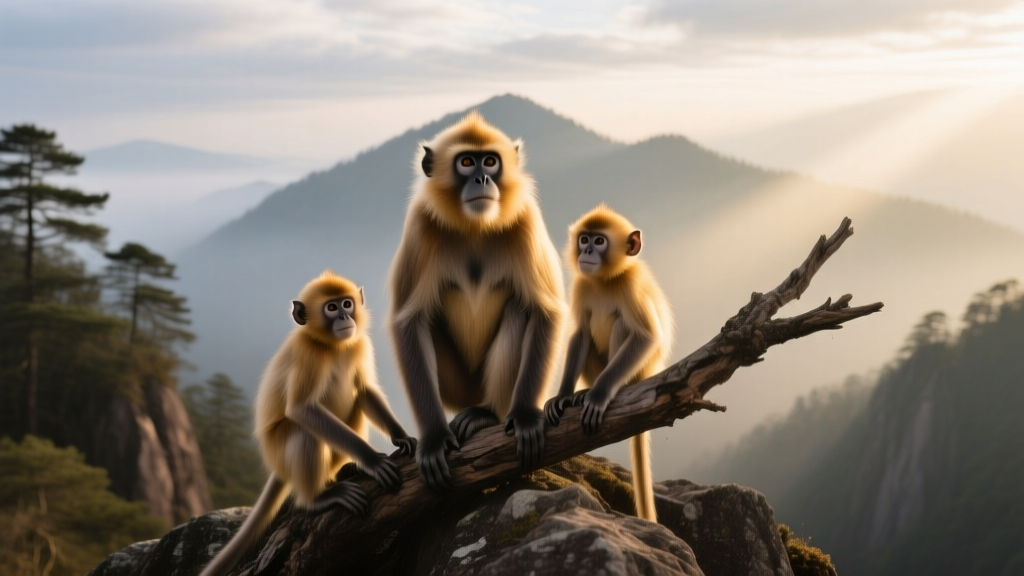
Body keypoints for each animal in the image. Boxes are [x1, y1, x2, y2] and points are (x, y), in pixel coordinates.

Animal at [199, 271, 416, 576]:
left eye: (347, 304)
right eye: (331, 308)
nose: (344, 317)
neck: (332, 345)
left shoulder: (359, 344)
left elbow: (364, 390)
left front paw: (401, 436)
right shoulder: (309, 353)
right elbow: (303, 410)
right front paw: (372, 461)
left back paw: (344, 470)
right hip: (279, 448)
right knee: (306, 433)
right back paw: (316, 499)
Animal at [388, 111, 565, 490]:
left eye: (491, 161)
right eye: (467, 162)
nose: (482, 177)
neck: (474, 225)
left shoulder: (526, 219)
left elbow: (544, 310)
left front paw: (525, 416)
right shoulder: (421, 224)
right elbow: (410, 321)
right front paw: (434, 439)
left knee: (519, 309)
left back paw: (487, 415)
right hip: (456, 387)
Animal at [544, 204, 673, 523]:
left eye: (599, 241)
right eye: (584, 239)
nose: (587, 251)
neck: (604, 280)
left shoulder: (630, 286)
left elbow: (646, 337)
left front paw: (600, 395)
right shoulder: (581, 284)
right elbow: (580, 333)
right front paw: (563, 396)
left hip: (638, 372)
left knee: (622, 324)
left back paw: (611, 389)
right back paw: (579, 394)